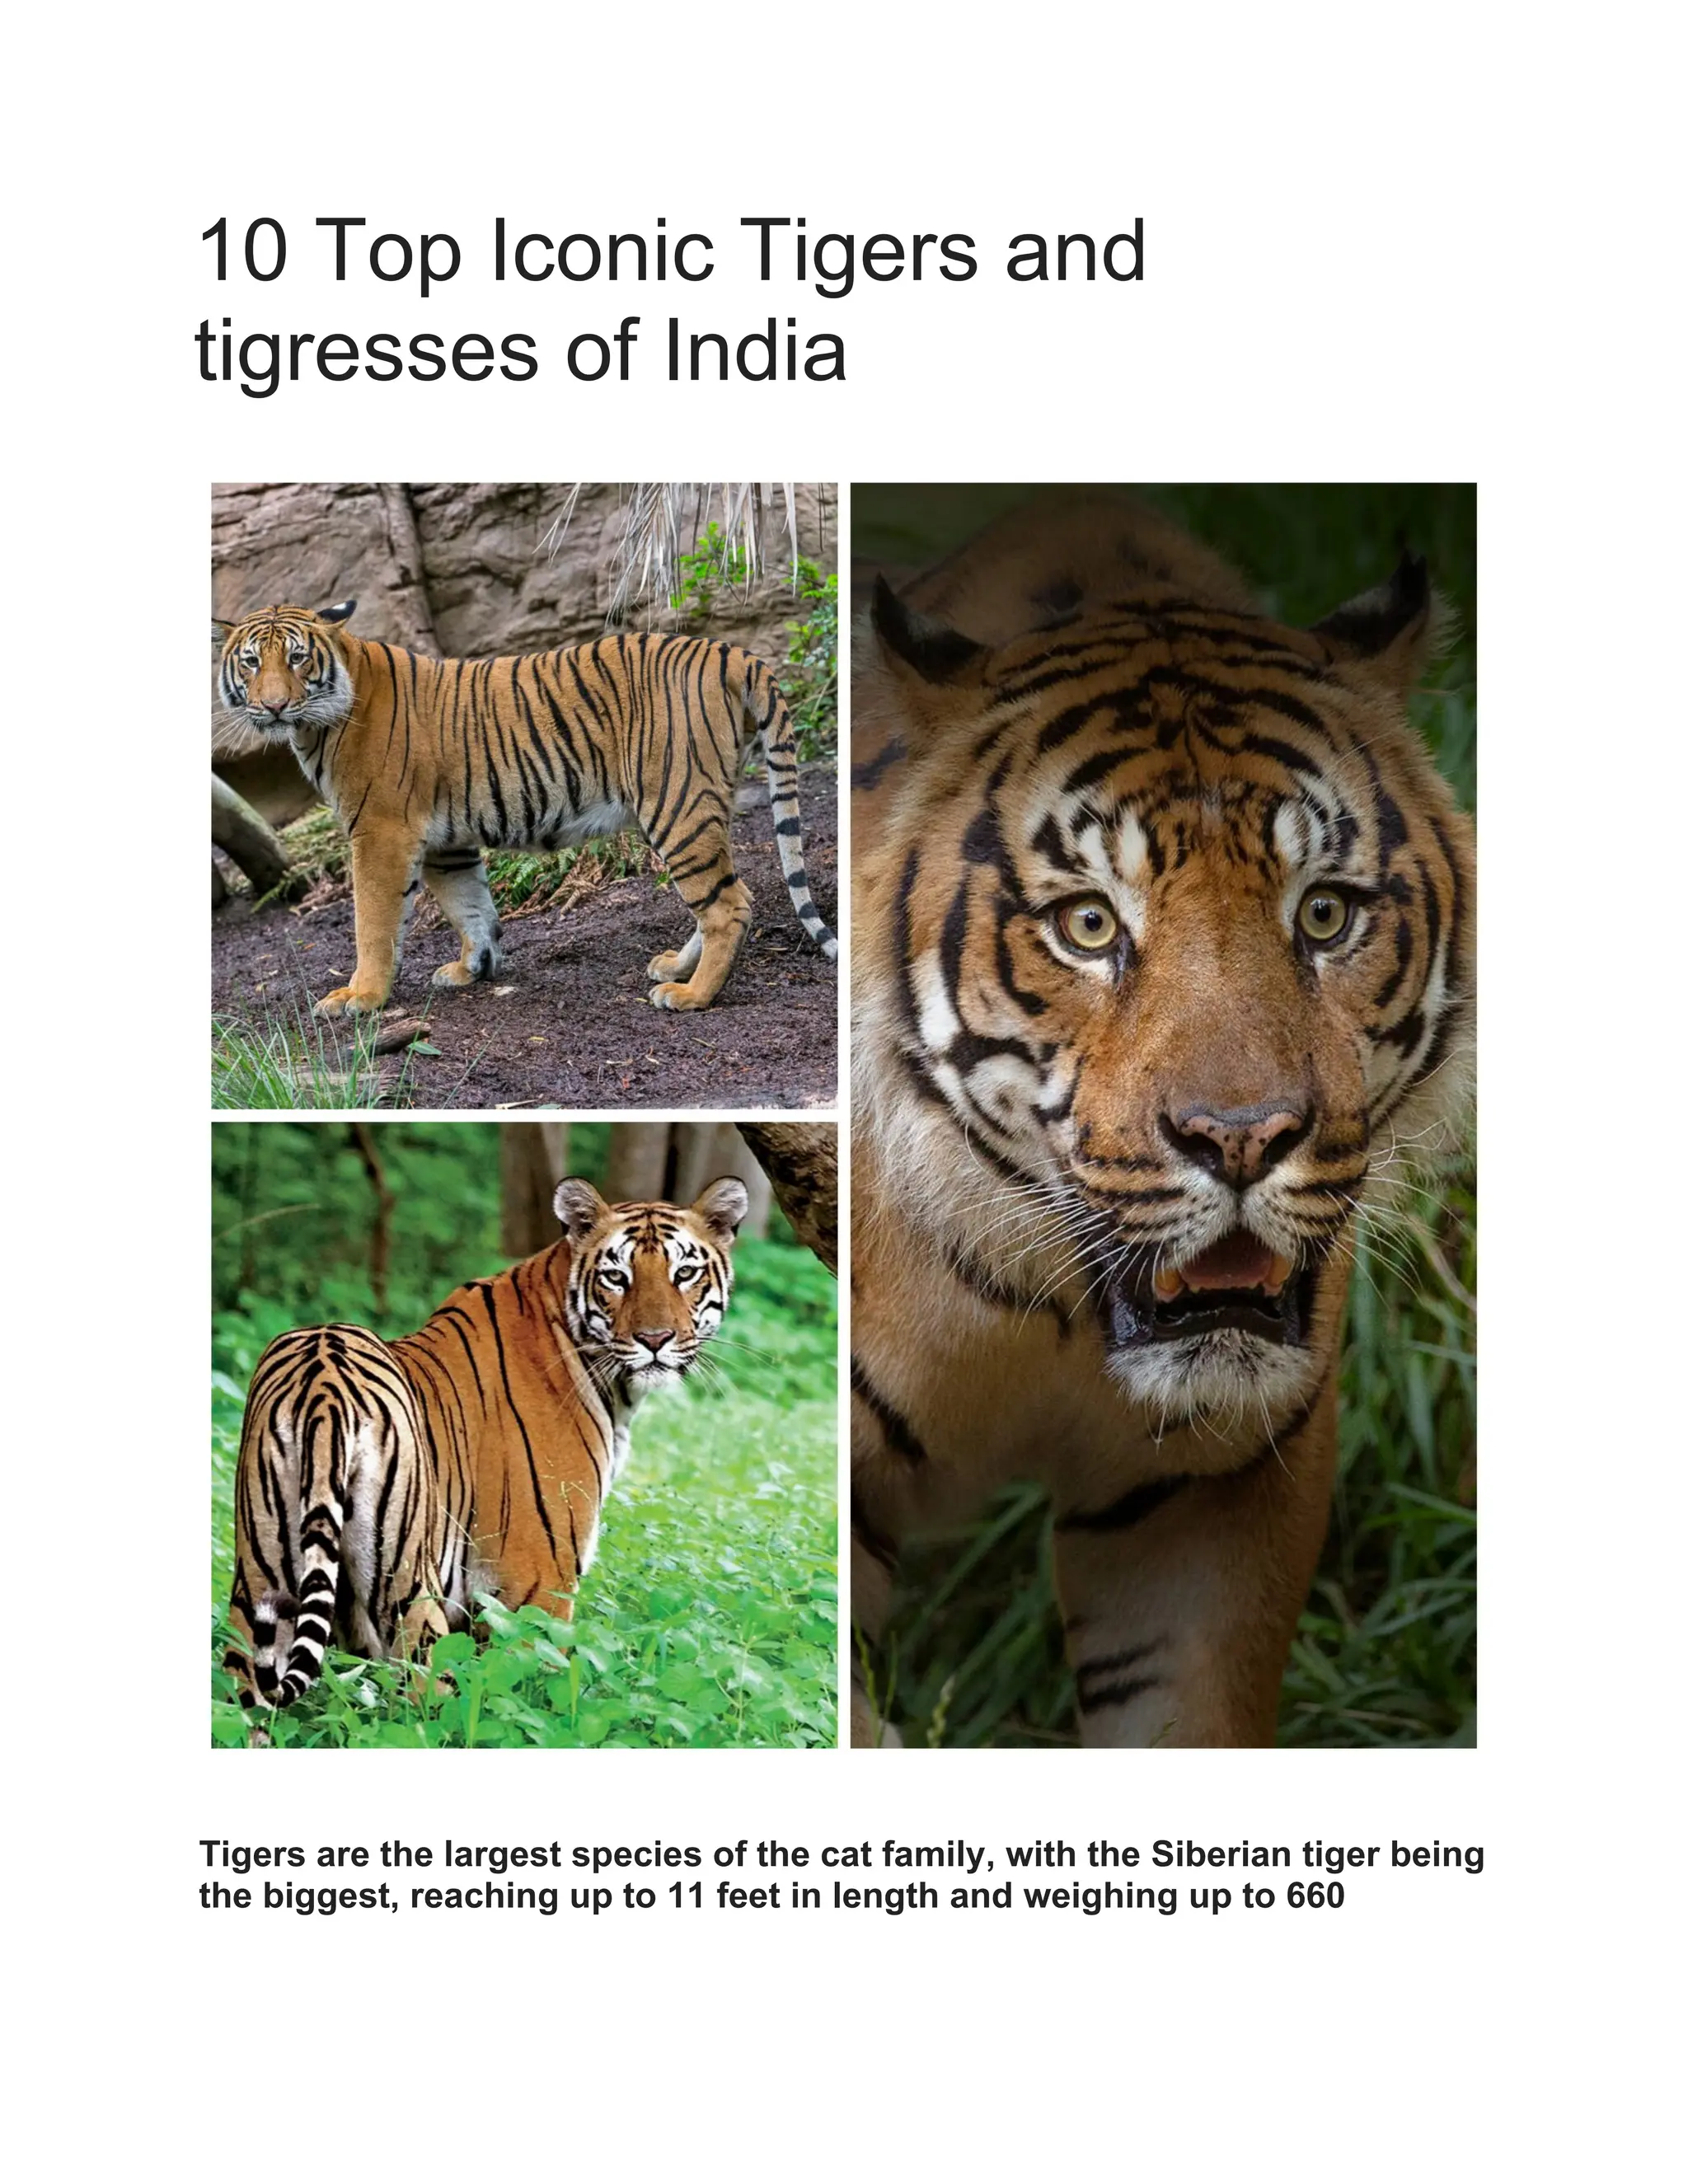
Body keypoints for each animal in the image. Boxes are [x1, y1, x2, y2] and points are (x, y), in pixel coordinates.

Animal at [211, 602, 838, 1015]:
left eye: (297, 658)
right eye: (251, 663)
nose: (273, 706)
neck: (315, 724)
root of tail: (727, 650)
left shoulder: (381, 832)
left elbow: (374, 922)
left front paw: (359, 997)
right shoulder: (446, 841)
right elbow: (469, 905)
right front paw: (473, 969)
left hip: (675, 802)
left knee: (729, 905)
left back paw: (691, 995)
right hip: (698, 803)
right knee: (729, 894)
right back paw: (676, 969)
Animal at [222, 1175, 748, 1727]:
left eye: (684, 1273)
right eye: (616, 1277)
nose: (654, 1339)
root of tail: (322, 1381)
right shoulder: (536, 1584)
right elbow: (540, 1688)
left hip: (260, 1583)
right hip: (408, 1588)